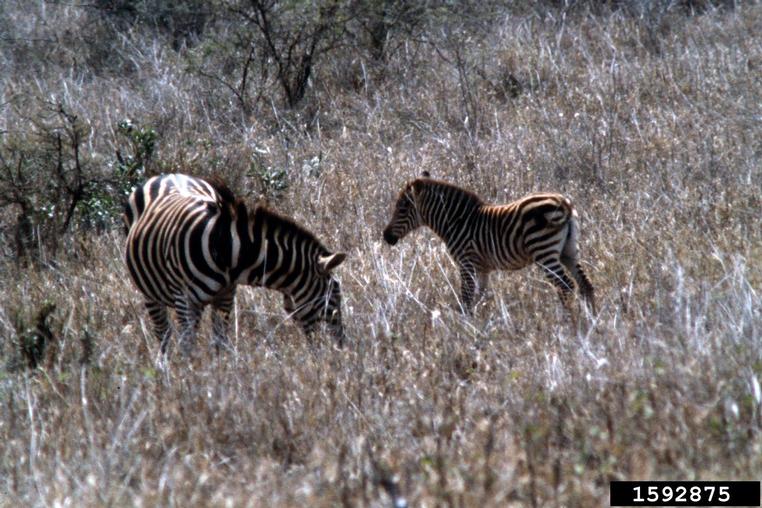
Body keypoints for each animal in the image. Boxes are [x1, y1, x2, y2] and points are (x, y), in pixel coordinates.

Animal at [124, 173, 347, 355]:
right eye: (334, 296)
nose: (341, 348)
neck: (225, 249)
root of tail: (166, 175)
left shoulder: (226, 295)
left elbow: (220, 341)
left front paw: (221, 372)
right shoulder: (184, 300)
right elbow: (188, 346)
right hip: (151, 294)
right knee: (163, 335)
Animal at [382, 172, 595, 318]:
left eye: (402, 208)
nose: (386, 236)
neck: (456, 222)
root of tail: (564, 202)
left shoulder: (466, 263)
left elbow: (466, 299)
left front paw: (464, 329)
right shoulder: (483, 268)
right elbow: (479, 298)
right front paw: (479, 326)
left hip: (544, 250)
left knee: (567, 286)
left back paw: (569, 322)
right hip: (569, 251)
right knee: (585, 285)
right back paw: (591, 325)